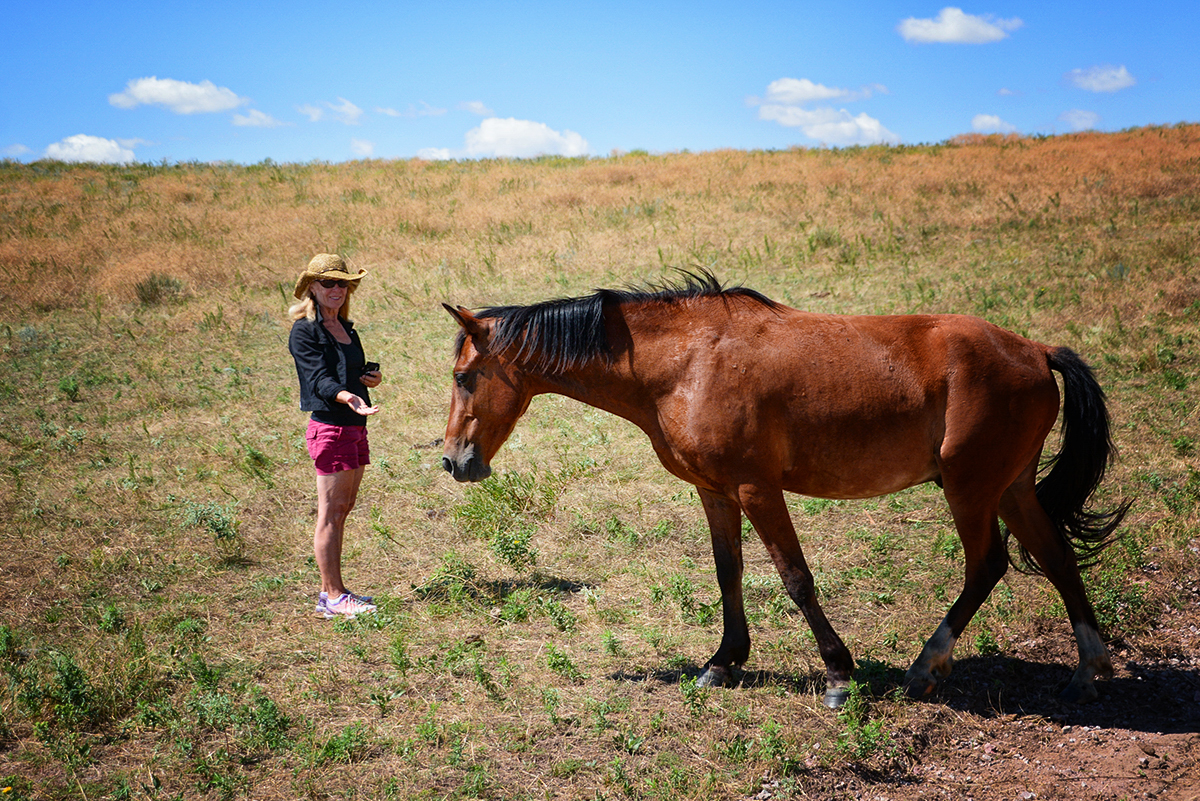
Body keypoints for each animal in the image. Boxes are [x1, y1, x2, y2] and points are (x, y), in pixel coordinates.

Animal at [441, 271, 1128, 709]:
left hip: (970, 488)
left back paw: (926, 666)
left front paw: (838, 675)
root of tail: (1035, 350)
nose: (453, 461)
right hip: (1010, 486)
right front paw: (723, 662)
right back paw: (1089, 670)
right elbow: (729, 572)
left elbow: (796, 578)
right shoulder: (716, 492)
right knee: (1057, 558)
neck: (684, 362)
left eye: (465, 377)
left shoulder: (757, 488)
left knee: (987, 565)